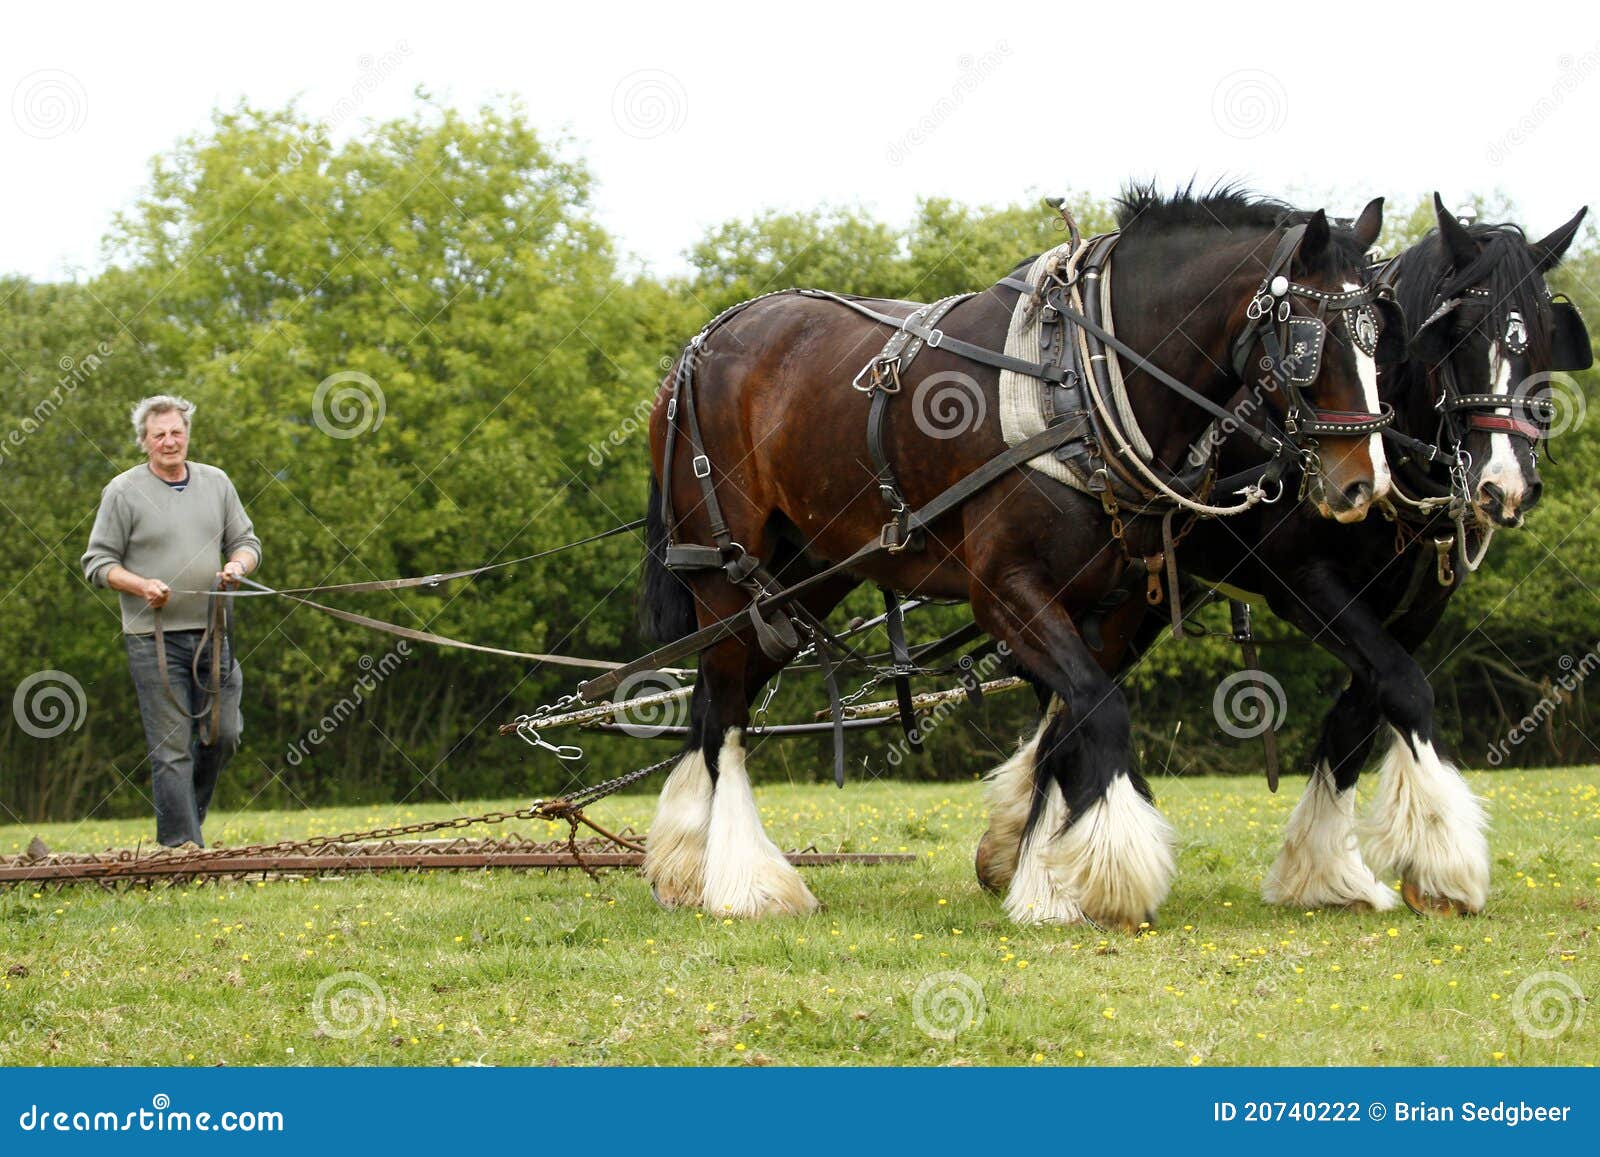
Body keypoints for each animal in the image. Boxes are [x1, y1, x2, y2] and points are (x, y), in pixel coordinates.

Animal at [635, 187, 1395, 926]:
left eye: (1380, 332)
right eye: (1309, 339)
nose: (1365, 483)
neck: (1083, 381)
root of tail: (697, 347)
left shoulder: (1107, 605)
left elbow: (1067, 730)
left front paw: (1045, 880)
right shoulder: (1007, 592)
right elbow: (1101, 711)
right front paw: (1109, 877)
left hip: (799, 578)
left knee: (714, 698)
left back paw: (688, 865)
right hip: (725, 564)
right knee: (726, 711)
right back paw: (742, 882)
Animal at [975, 195, 1590, 918]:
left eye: (1546, 334)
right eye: (1458, 332)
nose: (1506, 486)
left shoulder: (1419, 605)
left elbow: (1363, 709)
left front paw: (1324, 869)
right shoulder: (1303, 585)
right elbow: (1406, 686)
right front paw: (1445, 862)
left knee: (1064, 709)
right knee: (1068, 710)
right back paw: (1045, 875)